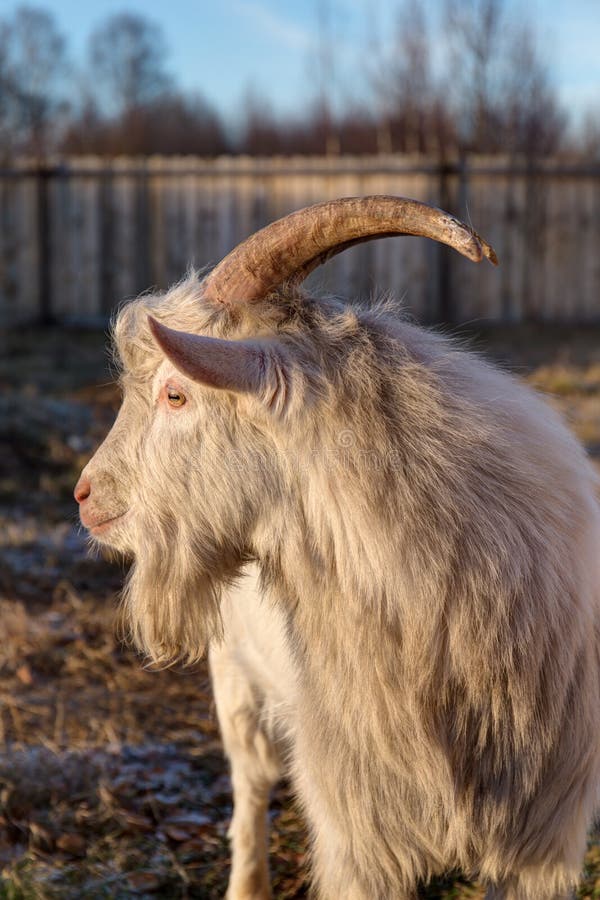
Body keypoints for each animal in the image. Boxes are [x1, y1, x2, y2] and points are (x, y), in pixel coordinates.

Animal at [74, 197, 600, 899]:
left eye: (175, 393)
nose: (85, 495)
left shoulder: (542, 842)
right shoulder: (362, 840)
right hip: (236, 680)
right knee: (251, 784)